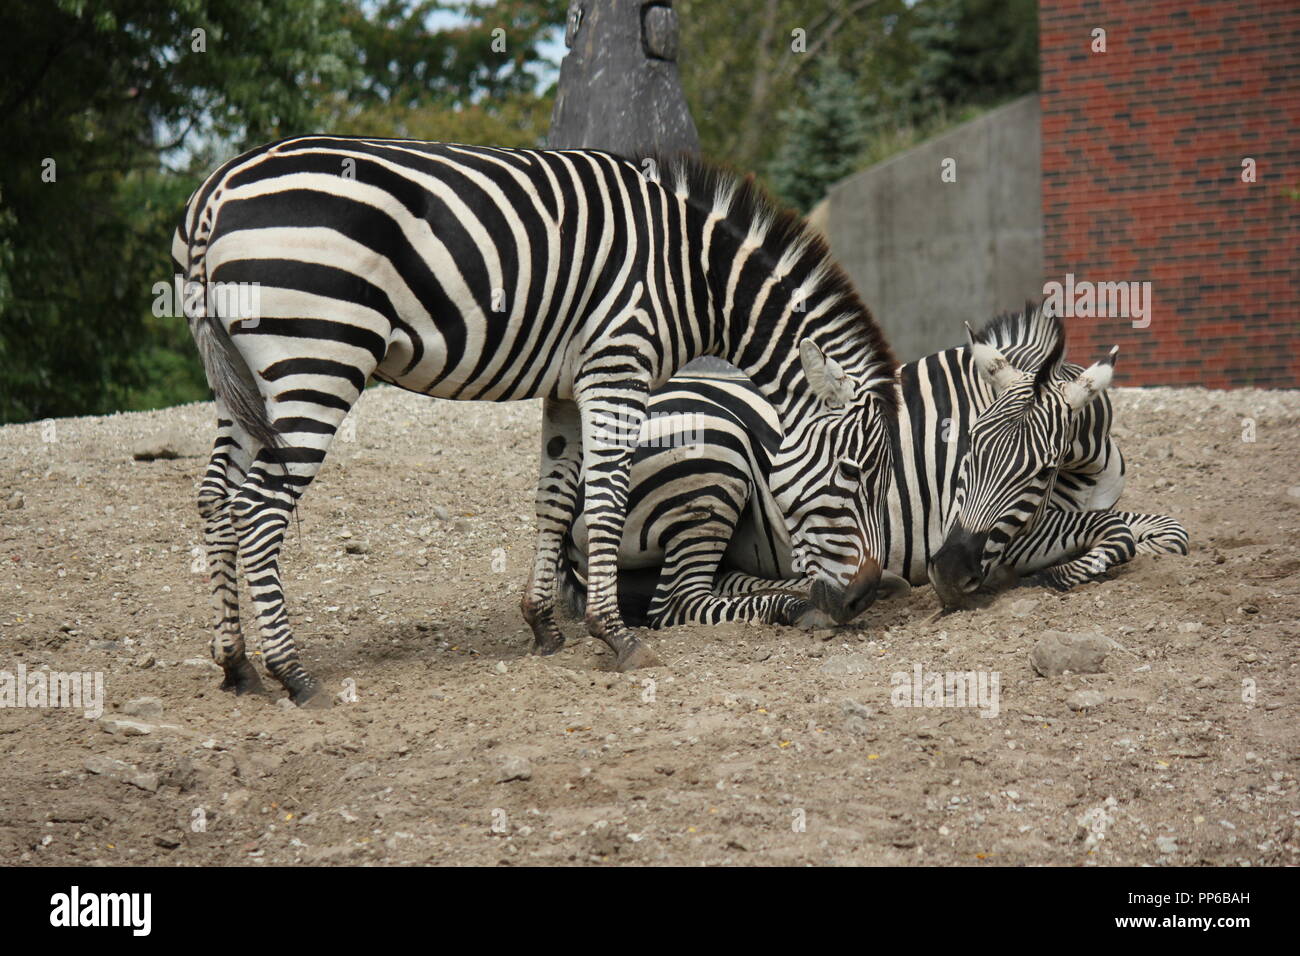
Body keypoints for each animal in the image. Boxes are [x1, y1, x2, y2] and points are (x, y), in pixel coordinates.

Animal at [171, 136, 898, 704]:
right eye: (853, 473)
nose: (865, 596)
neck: (692, 275)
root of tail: (217, 187)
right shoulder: (616, 365)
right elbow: (604, 500)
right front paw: (615, 636)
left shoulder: (568, 388)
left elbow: (554, 500)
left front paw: (543, 625)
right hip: (317, 358)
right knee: (258, 507)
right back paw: (292, 674)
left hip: (244, 381)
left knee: (214, 497)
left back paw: (235, 664)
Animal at [559, 304, 1188, 625]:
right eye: (966, 451)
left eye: (1040, 471)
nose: (944, 571)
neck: (1085, 467)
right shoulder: (1005, 538)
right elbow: (1120, 532)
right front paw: (1061, 572)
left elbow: (1169, 531)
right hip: (717, 457)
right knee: (677, 600)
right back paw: (797, 604)